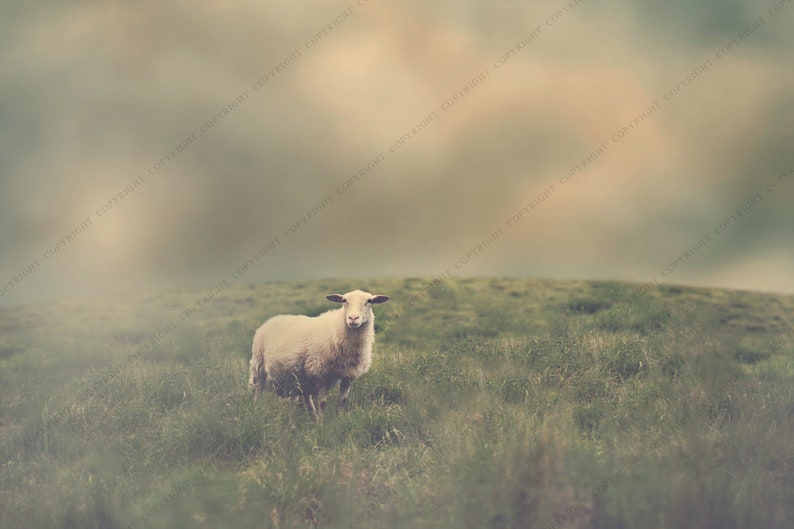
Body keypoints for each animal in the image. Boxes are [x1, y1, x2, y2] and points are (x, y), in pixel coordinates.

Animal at [249, 289, 390, 418]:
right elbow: (322, 403)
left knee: (301, 398)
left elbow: (342, 401)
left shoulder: (348, 375)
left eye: (369, 301)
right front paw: (322, 426)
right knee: (258, 391)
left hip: (299, 376)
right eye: (344, 301)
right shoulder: (320, 373)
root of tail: (272, 319)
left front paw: (340, 420)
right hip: (259, 366)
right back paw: (256, 411)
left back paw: (304, 418)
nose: (353, 318)